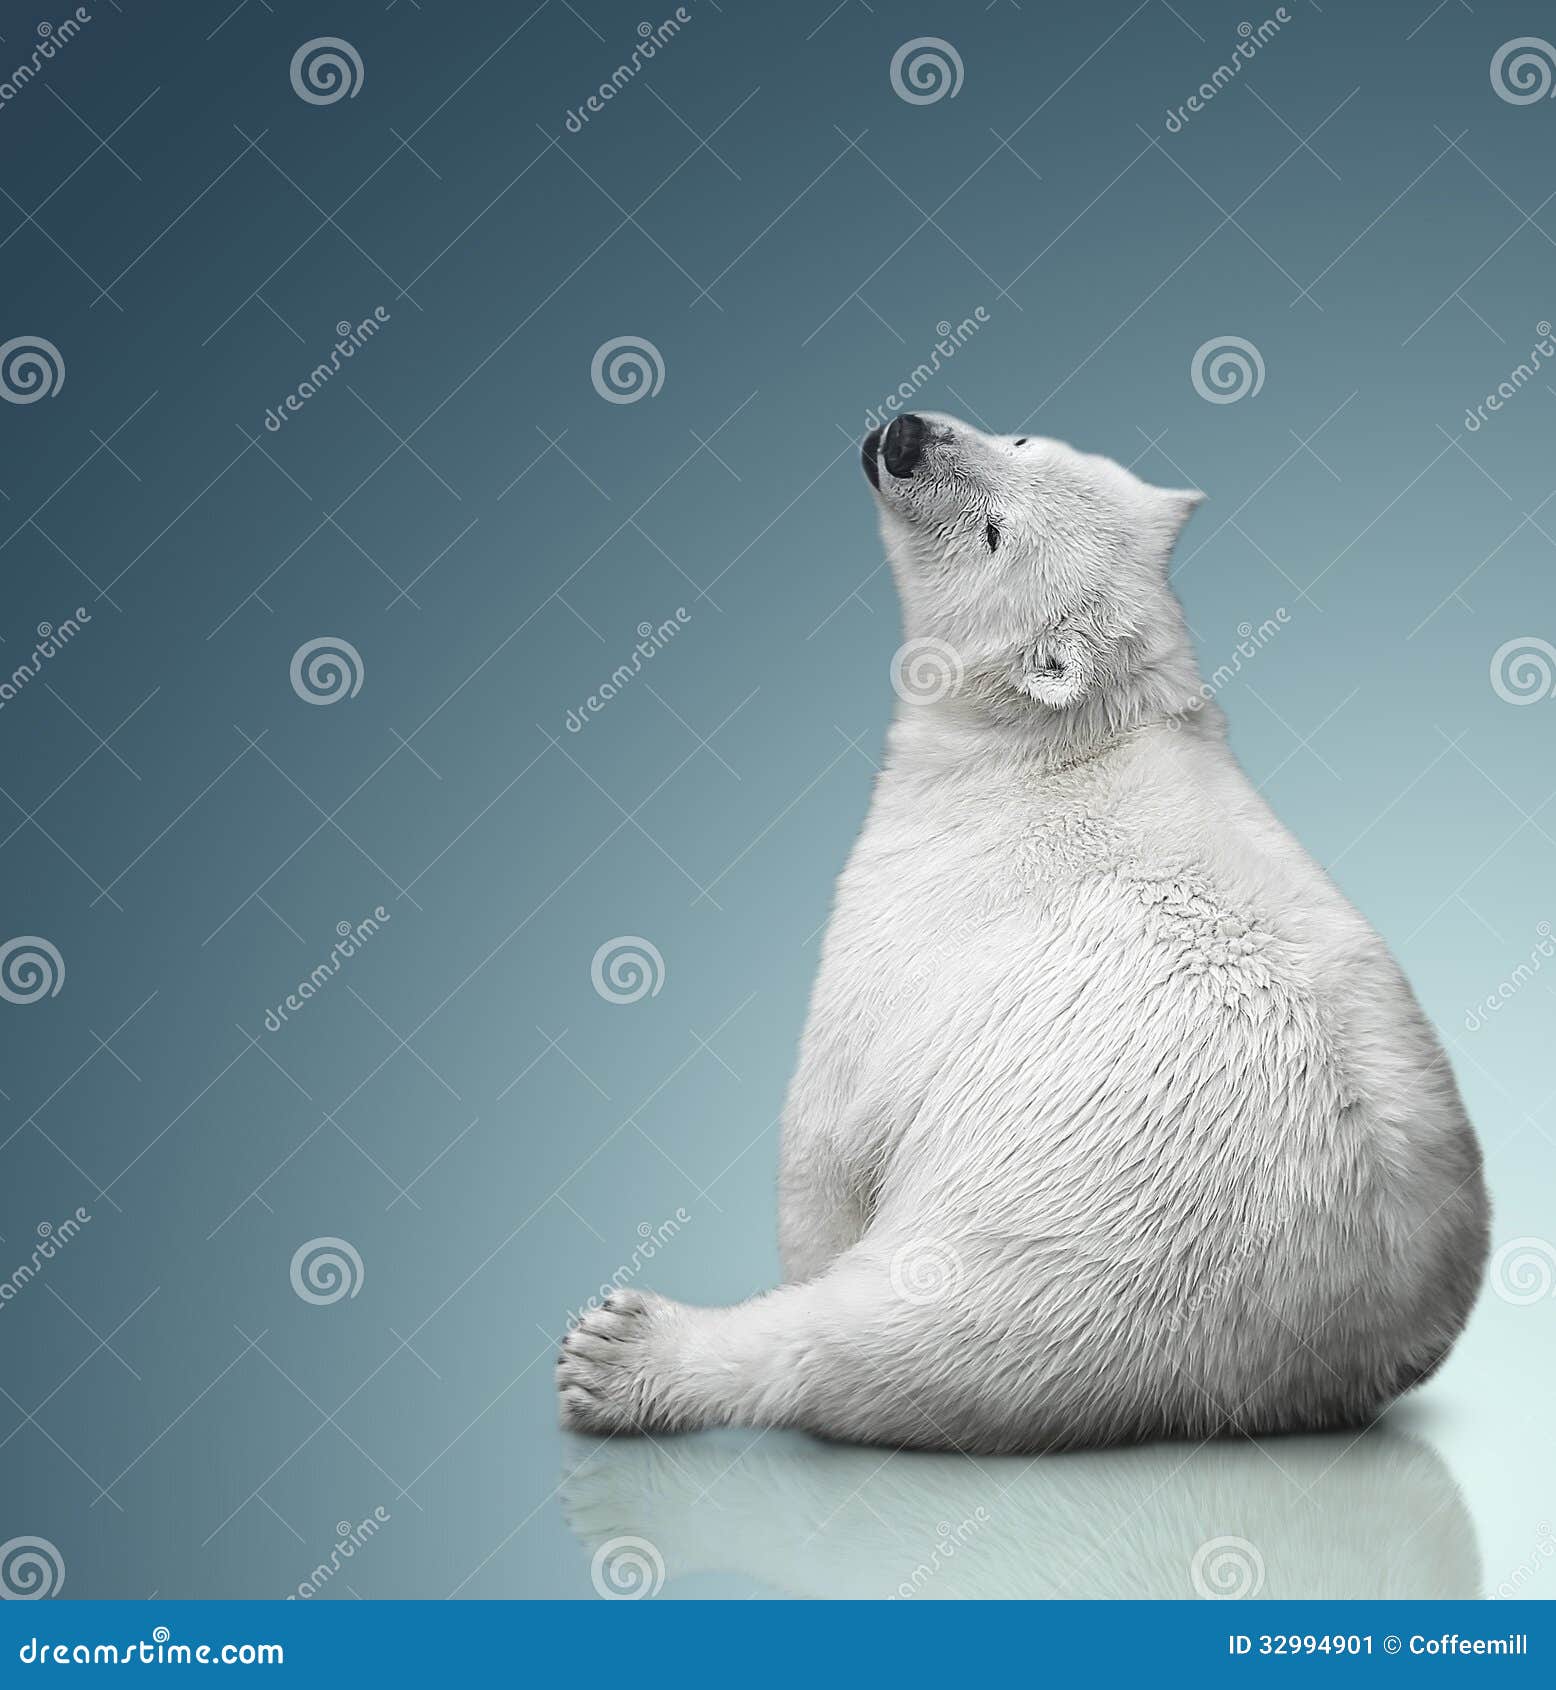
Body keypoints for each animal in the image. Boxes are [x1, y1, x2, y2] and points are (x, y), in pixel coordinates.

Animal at [557, 410, 1489, 1454]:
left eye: (994, 533)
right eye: (1022, 439)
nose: (907, 435)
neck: (1062, 741)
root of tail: (1312, 1355)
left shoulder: (925, 904)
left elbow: (831, 1128)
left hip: (1037, 1267)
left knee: (860, 1342)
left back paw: (628, 1351)